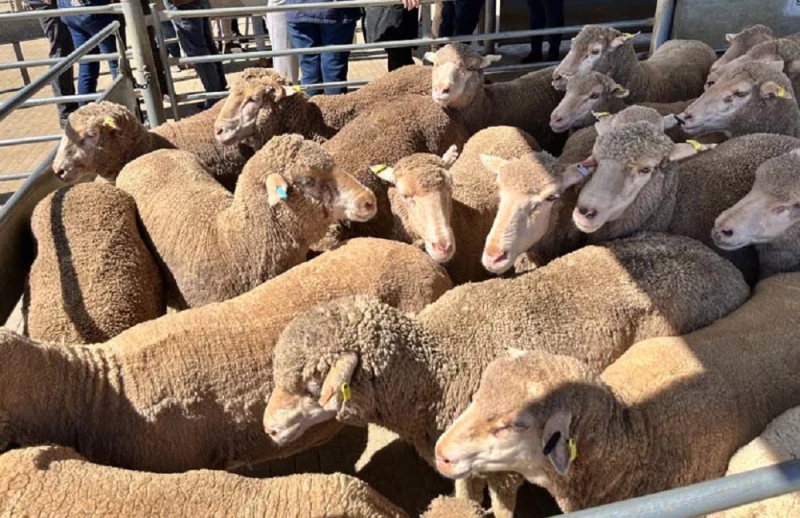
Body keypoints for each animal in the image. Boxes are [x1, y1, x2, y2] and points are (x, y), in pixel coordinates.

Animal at [264, 232, 749, 517]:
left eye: (312, 382)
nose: (268, 429)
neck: (433, 365)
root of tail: (729, 271)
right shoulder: (458, 452)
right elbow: (463, 495)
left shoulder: (505, 467)